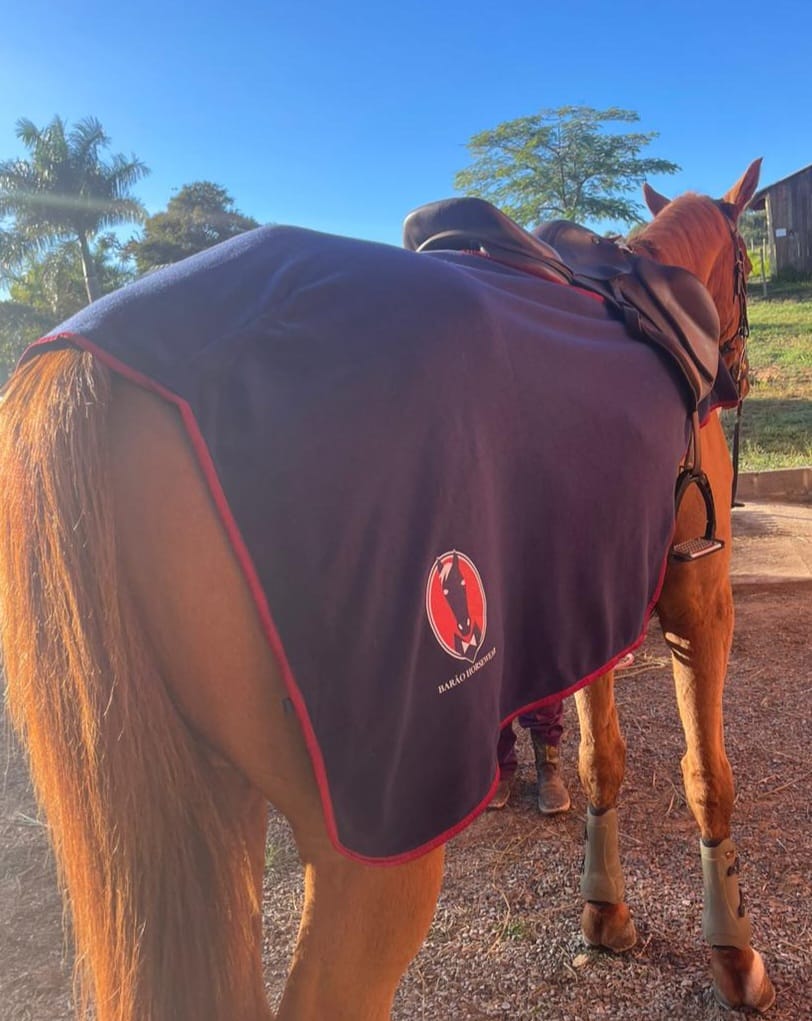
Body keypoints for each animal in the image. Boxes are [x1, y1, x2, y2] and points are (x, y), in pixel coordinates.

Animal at [0, 159, 774, 1021]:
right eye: (747, 263)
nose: (738, 378)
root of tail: (90, 362)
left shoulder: (596, 604)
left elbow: (601, 758)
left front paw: (604, 912)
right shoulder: (697, 600)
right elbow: (709, 779)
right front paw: (735, 954)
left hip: (211, 811)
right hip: (376, 852)